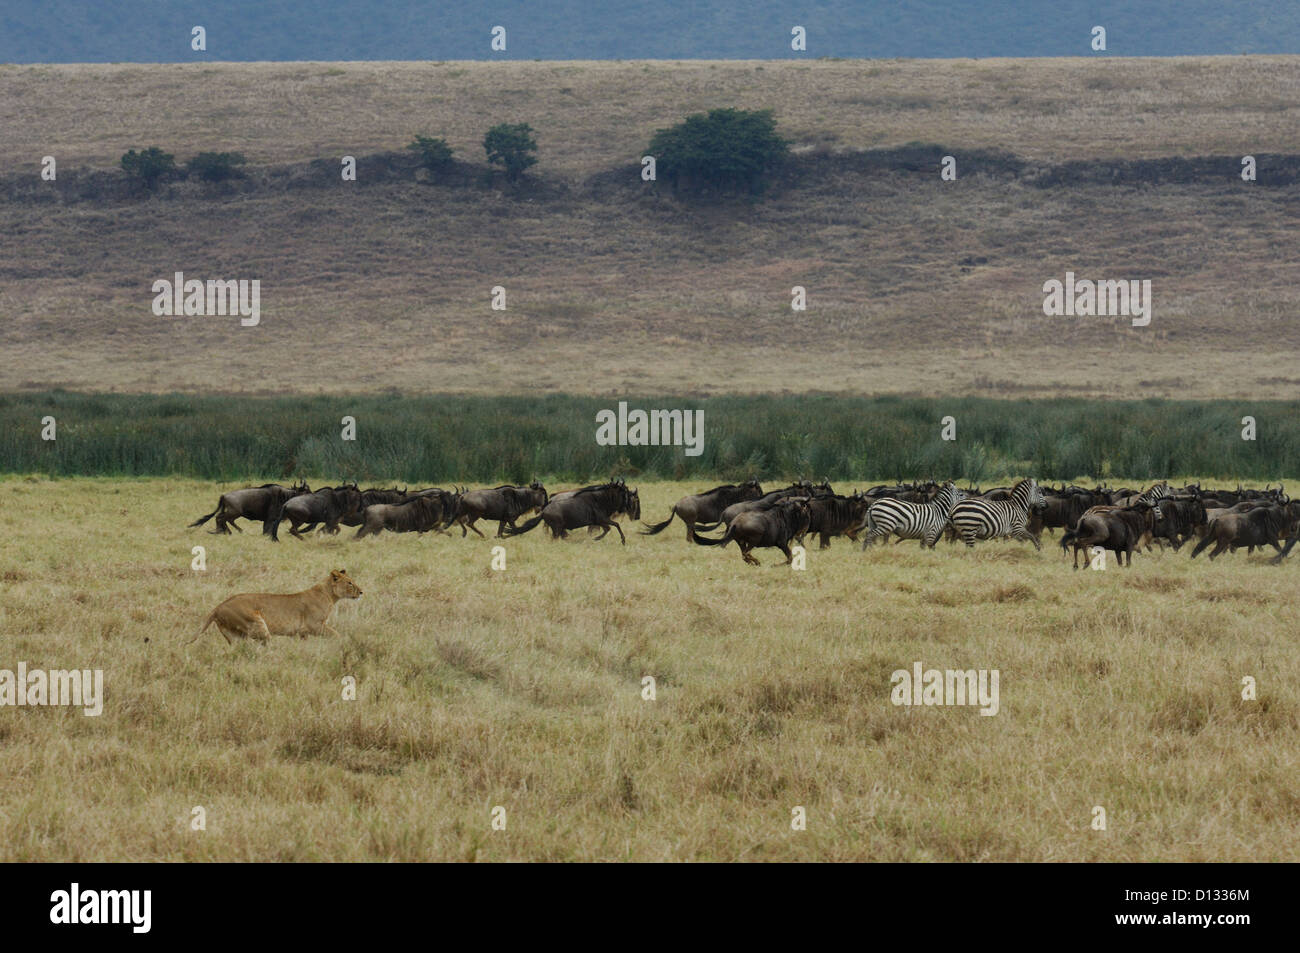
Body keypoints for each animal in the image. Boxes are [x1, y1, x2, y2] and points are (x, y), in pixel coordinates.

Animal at [189, 569, 363, 645]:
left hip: (234, 635)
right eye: (350, 583)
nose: (361, 591)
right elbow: (336, 634)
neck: (330, 595)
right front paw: (342, 643)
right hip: (258, 625)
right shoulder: (314, 625)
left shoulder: (304, 632)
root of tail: (219, 606)